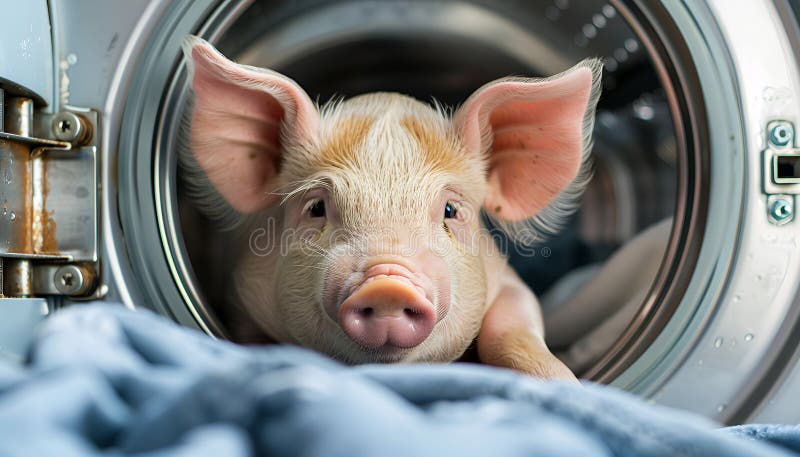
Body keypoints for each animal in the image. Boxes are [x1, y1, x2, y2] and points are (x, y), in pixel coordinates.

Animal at [180, 36, 602, 381]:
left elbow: (515, 331)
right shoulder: (244, 291)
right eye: (316, 208)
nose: (388, 283)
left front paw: (564, 384)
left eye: (450, 210)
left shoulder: (507, 281)